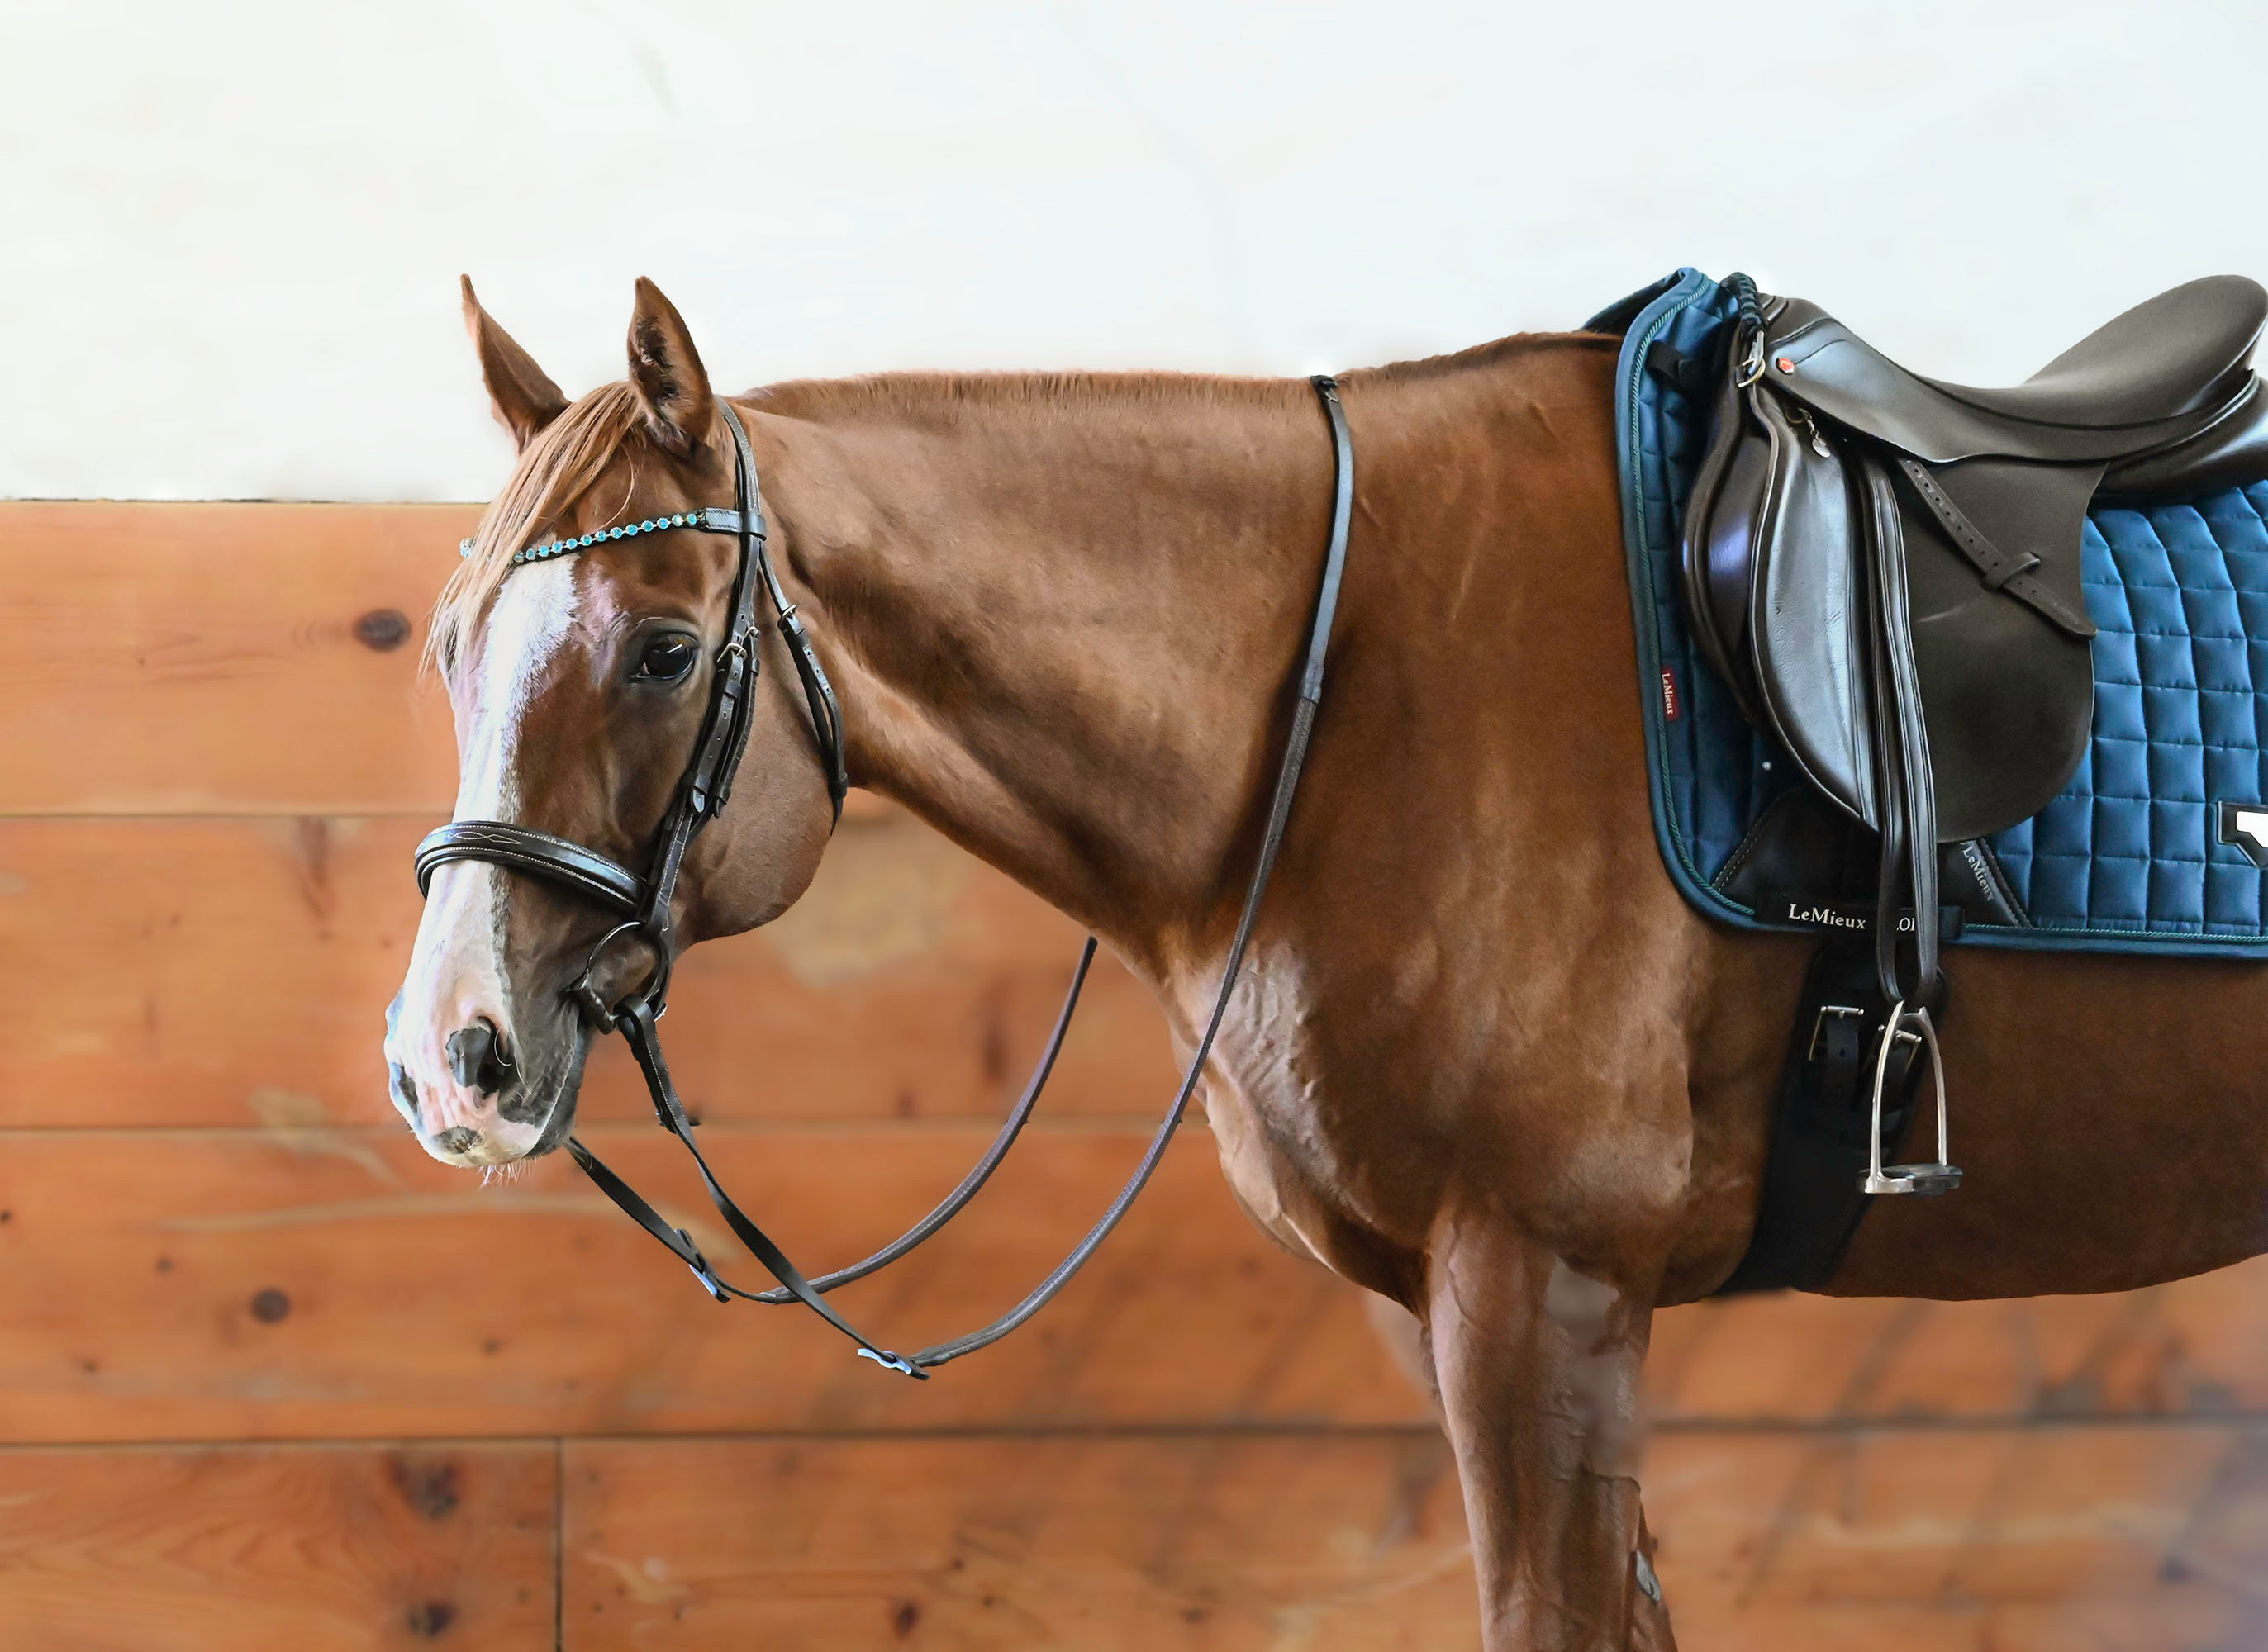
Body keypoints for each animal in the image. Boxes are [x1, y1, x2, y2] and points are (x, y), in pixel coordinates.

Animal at [383, 275, 2268, 1650]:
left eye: (661, 649)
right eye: (452, 645)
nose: (450, 1054)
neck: (1346, 685)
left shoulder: (1541, 1287)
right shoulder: (1474, 1312)